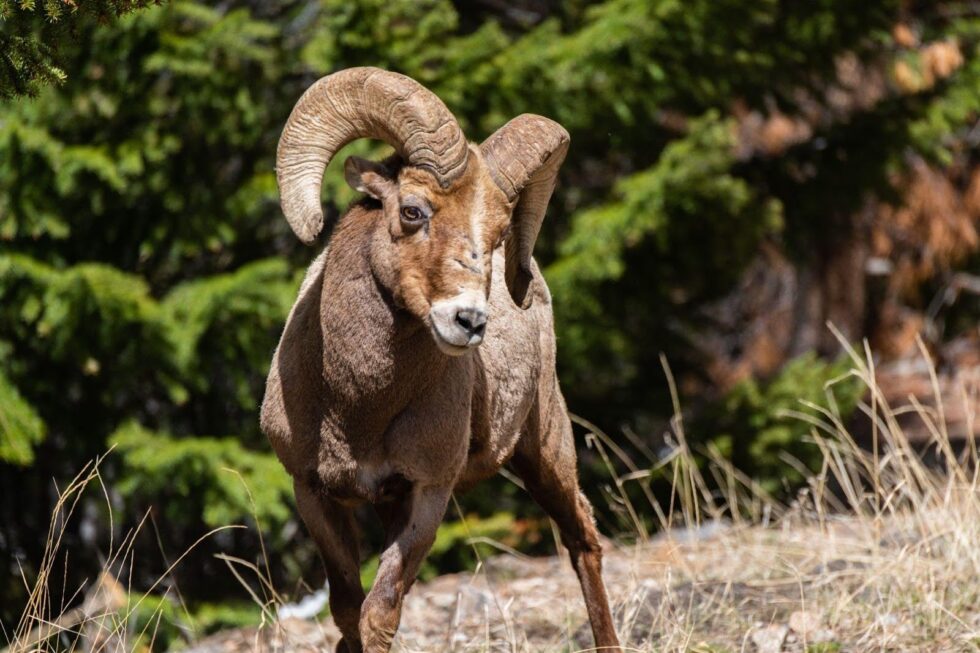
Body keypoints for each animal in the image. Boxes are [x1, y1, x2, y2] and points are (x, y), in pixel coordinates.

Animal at [260, 67, 621, 653]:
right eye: (412, 210)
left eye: (498, 236)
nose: (469, 321)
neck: (357, 407)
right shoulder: (313, 493)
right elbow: (347, 611)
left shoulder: (427, 493)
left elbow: (378, 614)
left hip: (546, 452)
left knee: (582, 540)